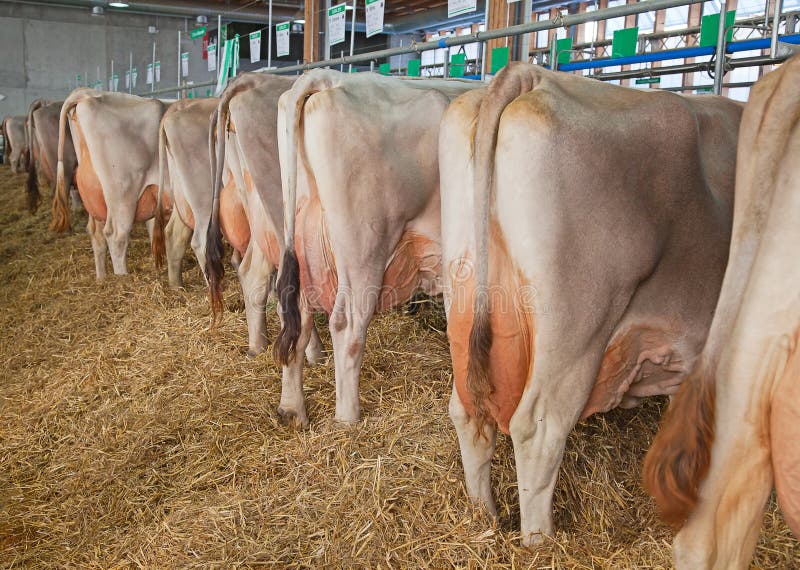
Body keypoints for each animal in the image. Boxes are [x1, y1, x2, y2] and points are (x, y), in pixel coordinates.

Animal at [51, 88, 171, 280]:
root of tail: (87, 94)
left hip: (97, 197)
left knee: (96, 234)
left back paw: (101, 279)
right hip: (123, 193)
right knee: (116, 236)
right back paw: (122, 278)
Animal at [273, 70, 477, 428]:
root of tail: (328, 77)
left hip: (303, 236)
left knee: (296, 315)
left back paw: (292, 409)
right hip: (364, 247)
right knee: (348, 323)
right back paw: (348, 417)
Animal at [439, 62, 742, 545]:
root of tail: (530, 75)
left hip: (465, 300)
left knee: (469, 412)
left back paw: (483, 515)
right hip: (576, 329)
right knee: (538, 429)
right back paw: (539, 542)